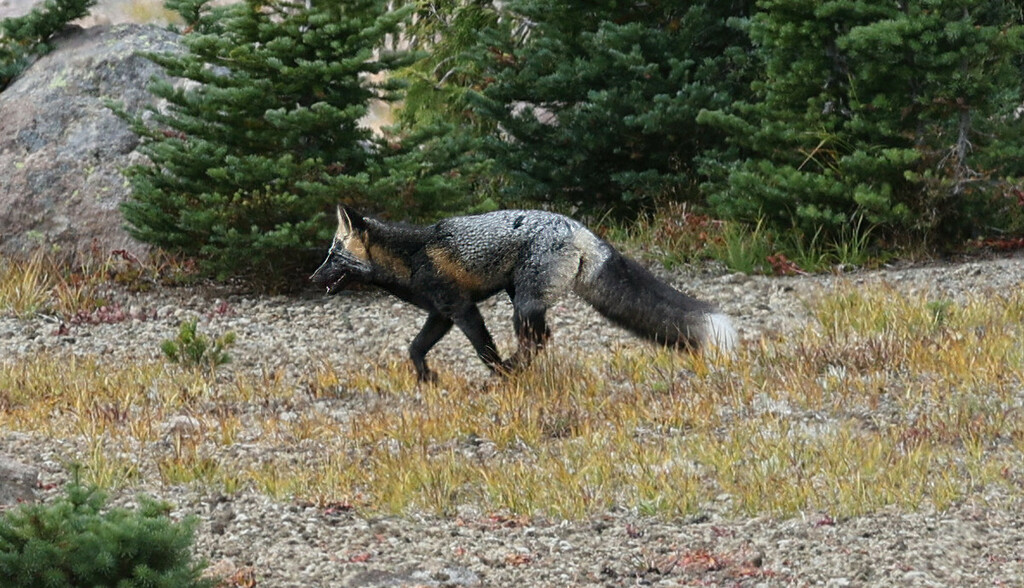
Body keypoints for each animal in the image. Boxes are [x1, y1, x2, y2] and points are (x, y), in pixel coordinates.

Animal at [311, 206, 737, 382]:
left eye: (332, 256)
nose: (313, 278)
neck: (410, 257)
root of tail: (579, 228)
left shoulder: (462, 308)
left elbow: (484, 350)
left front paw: (497, 373)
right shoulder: (441, 314)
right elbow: (415, 348)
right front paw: (426, 378)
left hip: (524, 303)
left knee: (538, 339)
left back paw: (514, 369)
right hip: (522, 299)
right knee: (542, 338)